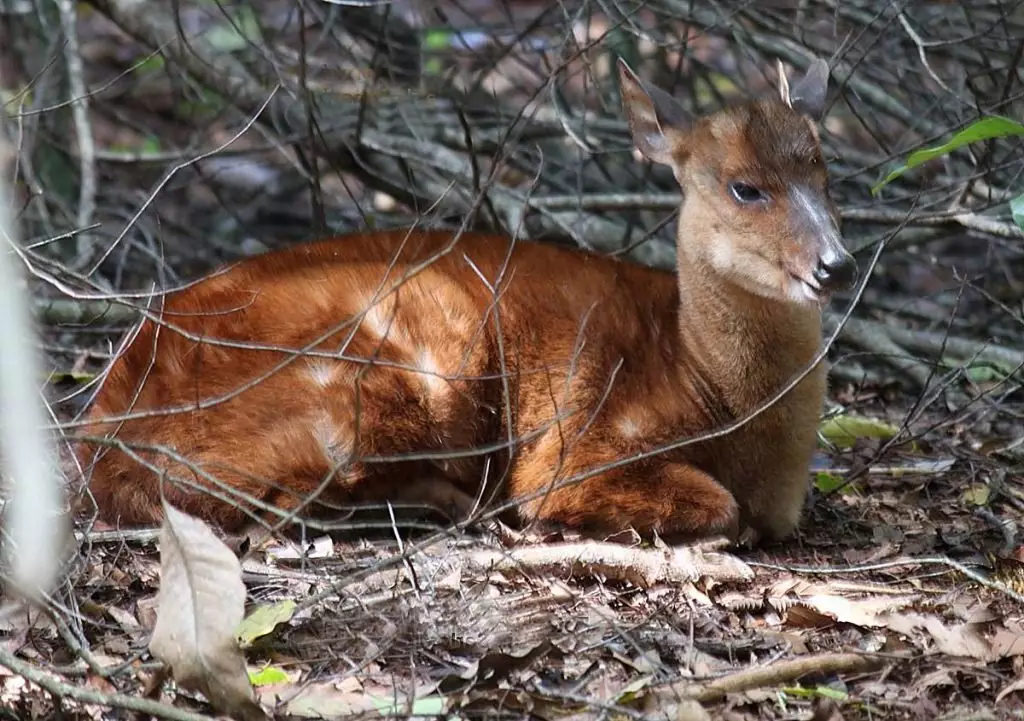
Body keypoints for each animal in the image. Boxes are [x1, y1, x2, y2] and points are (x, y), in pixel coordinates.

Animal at [74, 56, 856, 548]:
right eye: (744, 187)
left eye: (827, 174)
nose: (836, 264)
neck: (701, 377)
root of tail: (103, 447)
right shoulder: (581, 445)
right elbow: (710, 505)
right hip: (385, 377)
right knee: (288, 504)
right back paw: (463, 507)